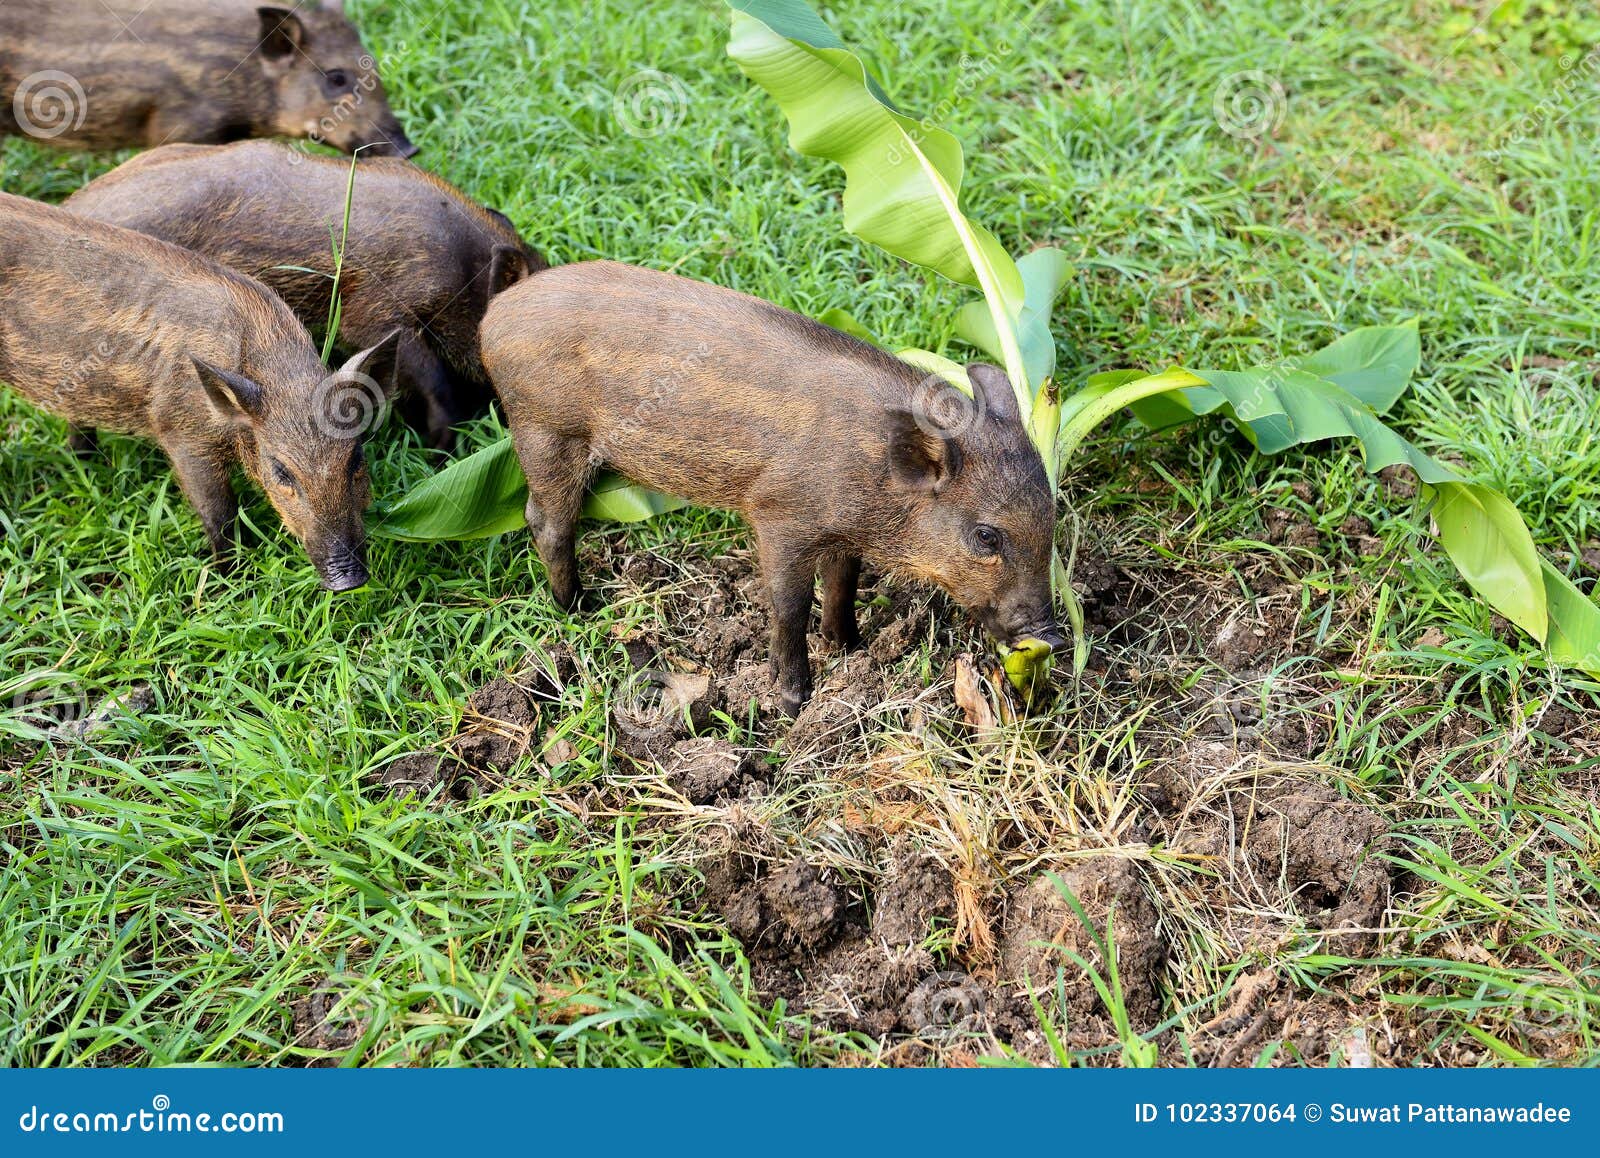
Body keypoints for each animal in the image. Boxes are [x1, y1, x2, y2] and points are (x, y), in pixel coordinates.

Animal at [0, 191, 399, 590]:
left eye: (357, 457)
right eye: (281, 471)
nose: (349, 579)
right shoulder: (181, 435)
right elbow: (218, 512)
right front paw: (229, 579)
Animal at [480, 261, 1067, 714]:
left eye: (1051, 516)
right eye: (986, 536)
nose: (1053, 634)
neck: (875, 481)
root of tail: (494, 316)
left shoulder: (842, 531)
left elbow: (842, 583)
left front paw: (850, 647)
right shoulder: (779, 515)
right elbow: (788, 604)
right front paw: (791, 701)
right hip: (544, 429)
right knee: (546, 520)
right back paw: (578, 607)